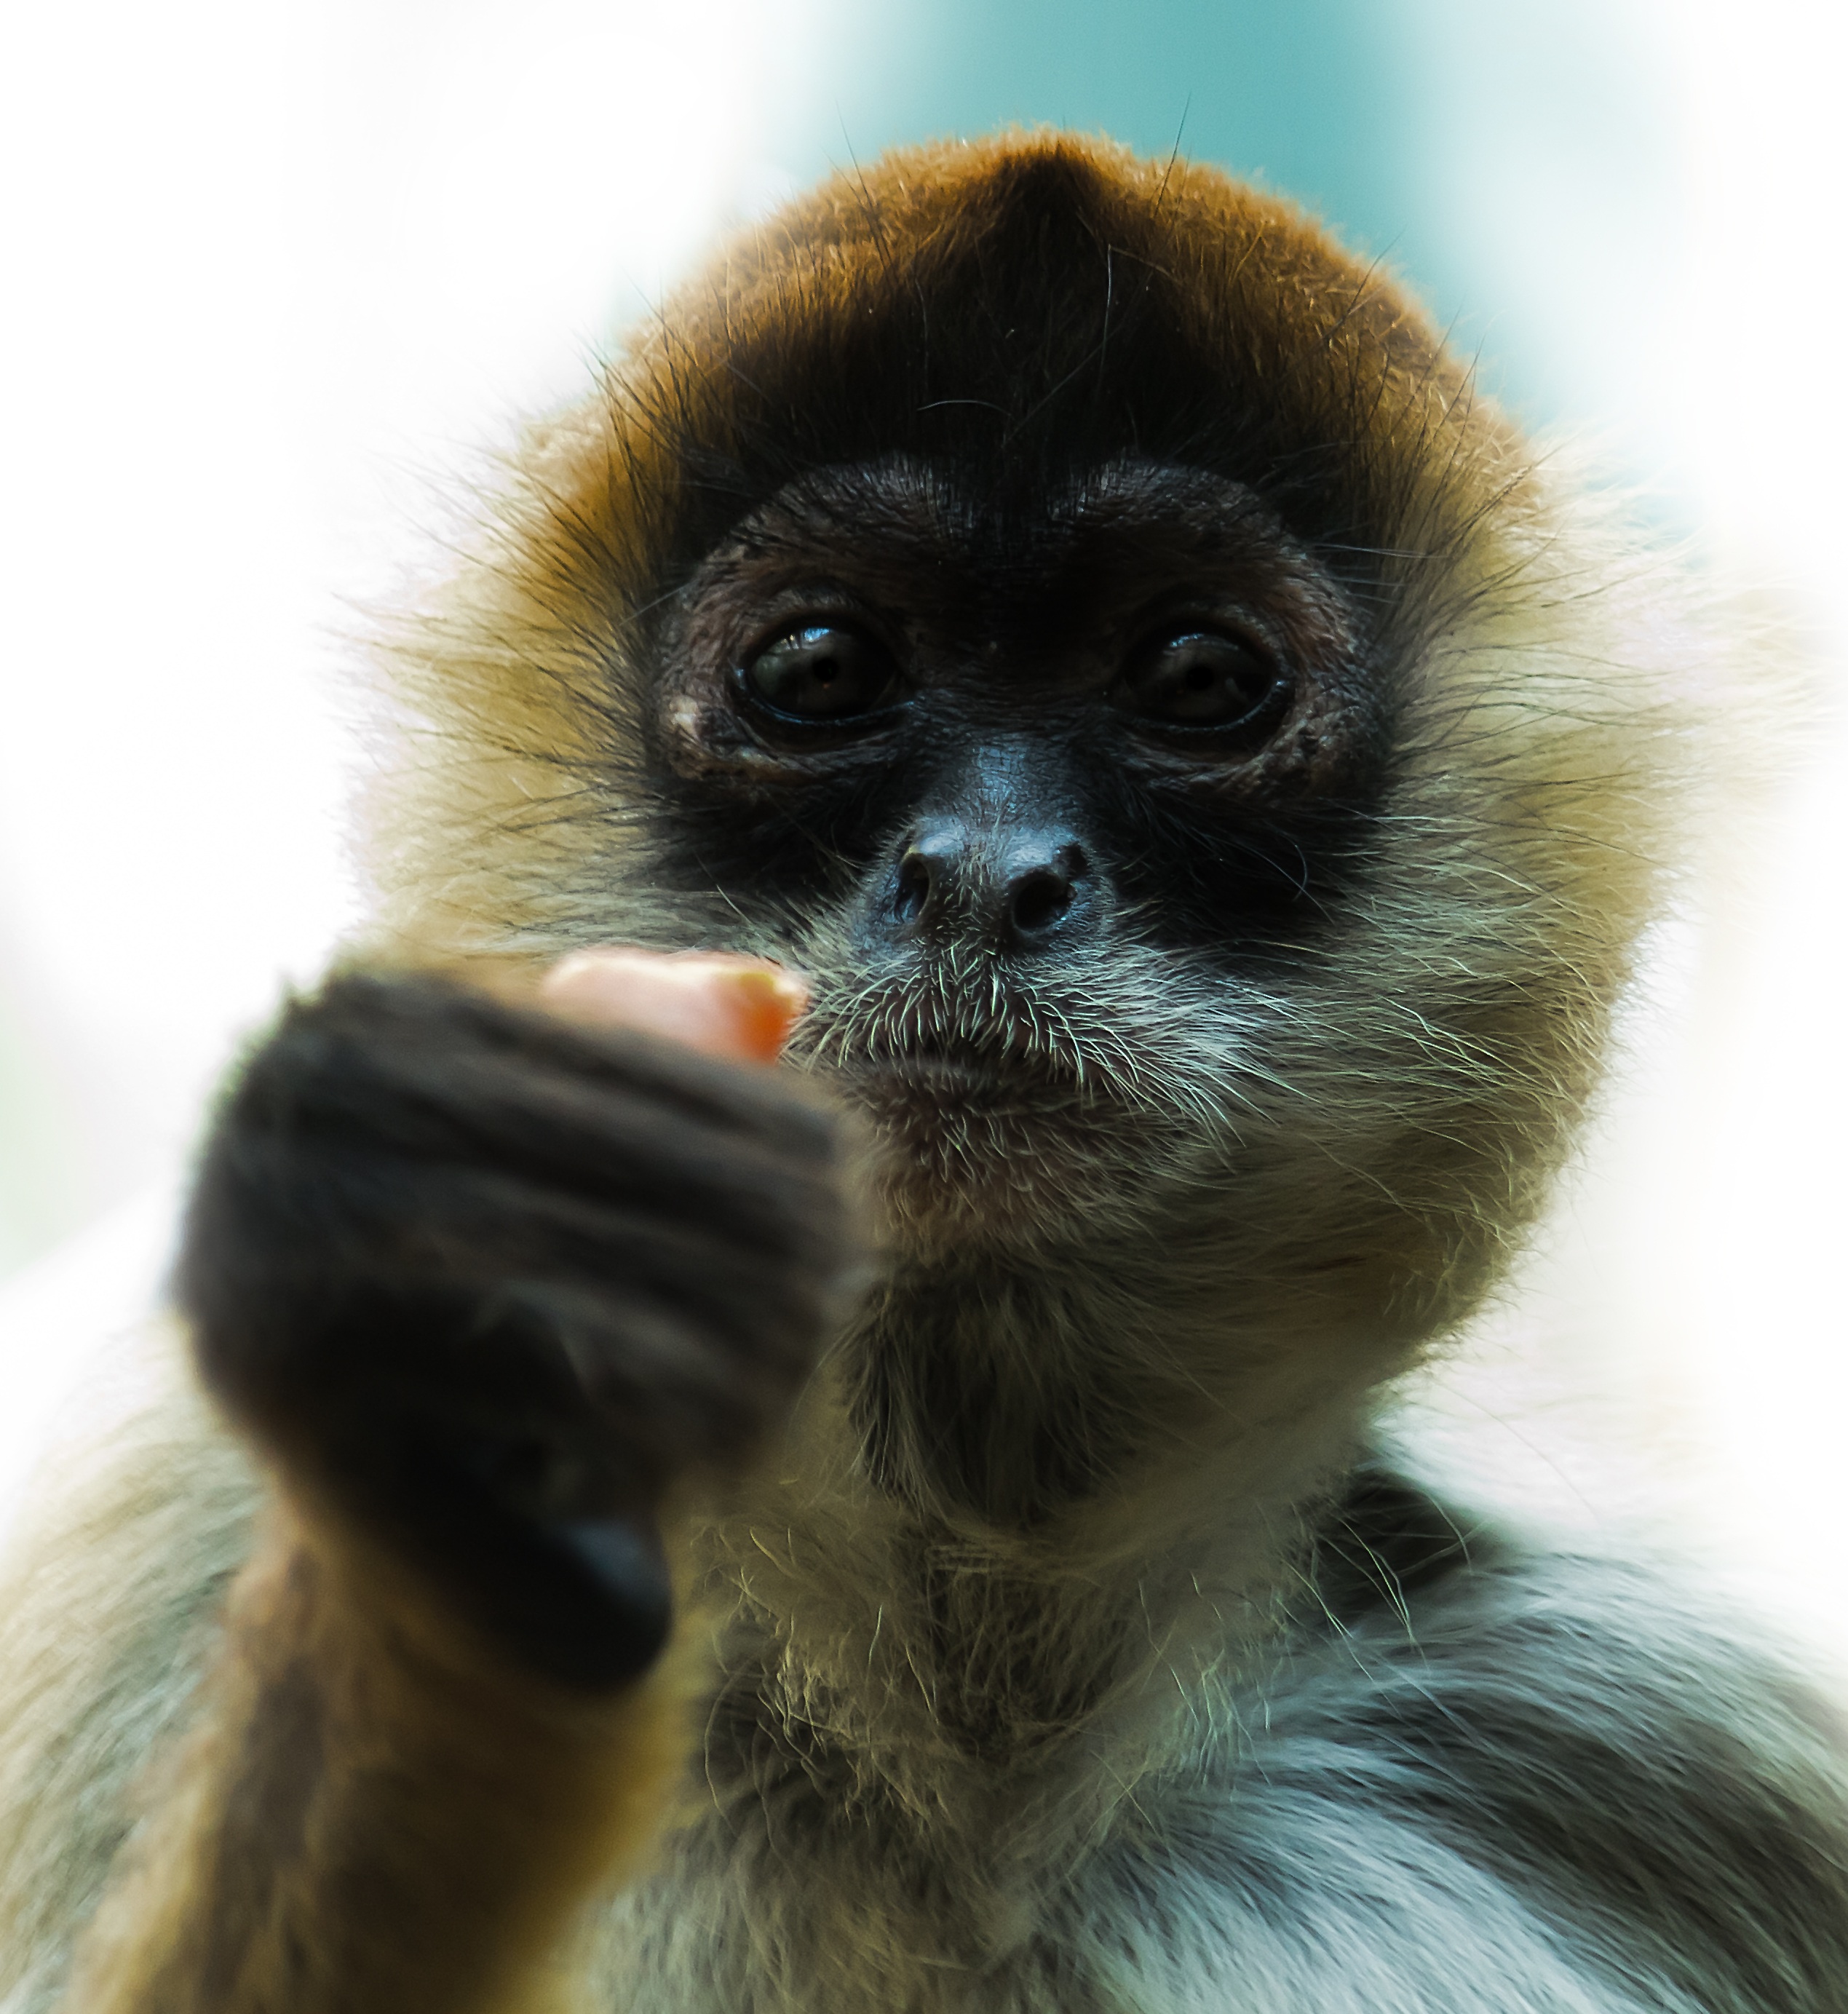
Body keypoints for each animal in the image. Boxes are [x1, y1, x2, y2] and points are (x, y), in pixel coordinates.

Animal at [2, 126, 1847, 2014]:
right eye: (820, 668)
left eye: (1198, 677)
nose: (981, 875)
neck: (963, 1746)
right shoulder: (162, 1522)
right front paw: (440, 1477)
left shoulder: (1648, 1712)